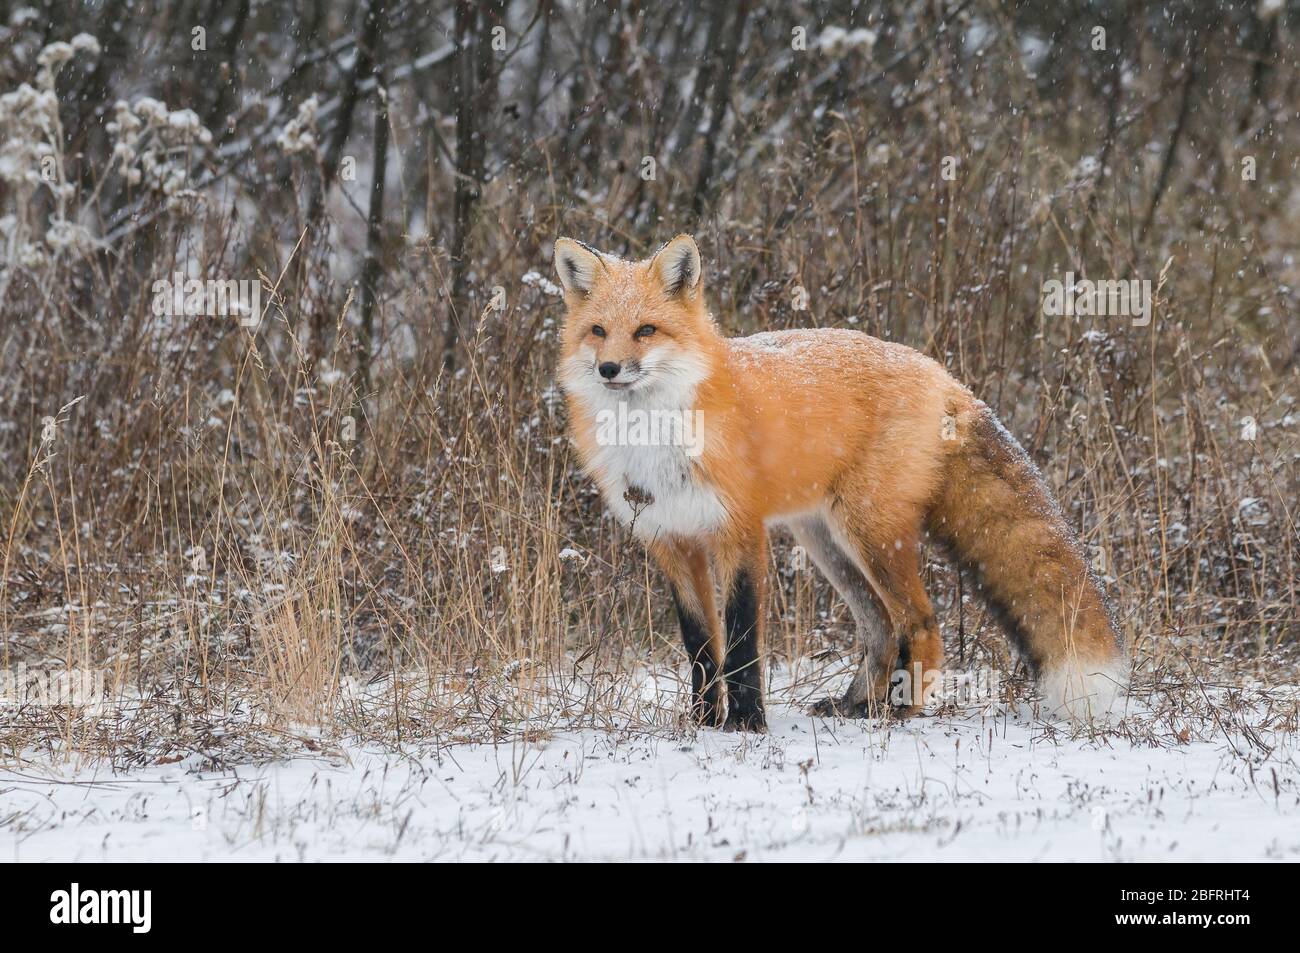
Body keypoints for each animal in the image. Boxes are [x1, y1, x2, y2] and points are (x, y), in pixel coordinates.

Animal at [553, 233, 1127, 731]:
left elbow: (741, 637)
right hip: (826, 541)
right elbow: (700, 645)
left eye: (646, 330)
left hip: (869, 532)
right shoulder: (670, 540)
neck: (657, 438)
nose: (609, 368)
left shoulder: (741, 532)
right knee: (880, 627)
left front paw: (747, 723)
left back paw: (899, 711)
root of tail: (943, 374)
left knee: (921, 621)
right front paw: (703, 721)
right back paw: (859, 705)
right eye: (598, 331)